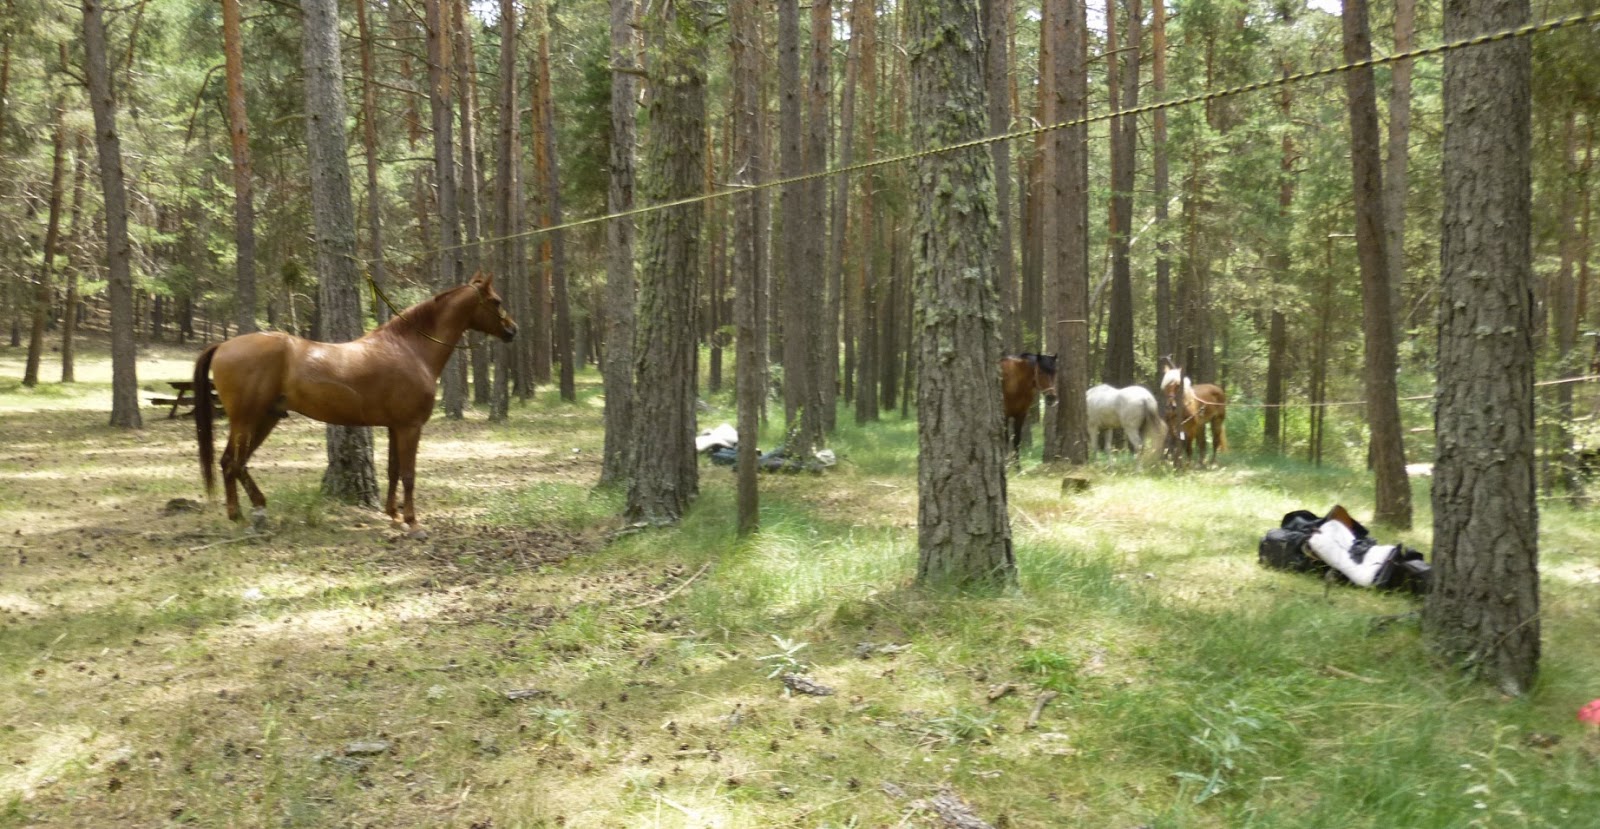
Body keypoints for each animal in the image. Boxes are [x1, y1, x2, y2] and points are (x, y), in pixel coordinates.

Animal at [194, 272, 517, 536]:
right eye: (497, 301)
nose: (513, 330)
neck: (410, 349)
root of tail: (223, 345)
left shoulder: (394, 427)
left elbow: (393, 471)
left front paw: (394, 516)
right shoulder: (410, 427)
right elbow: (409, 475)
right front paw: (413, 522)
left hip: (265, 418)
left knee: (229, 463)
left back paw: (240, 513)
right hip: (247, 420)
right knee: (236, 463)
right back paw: (255, 512)